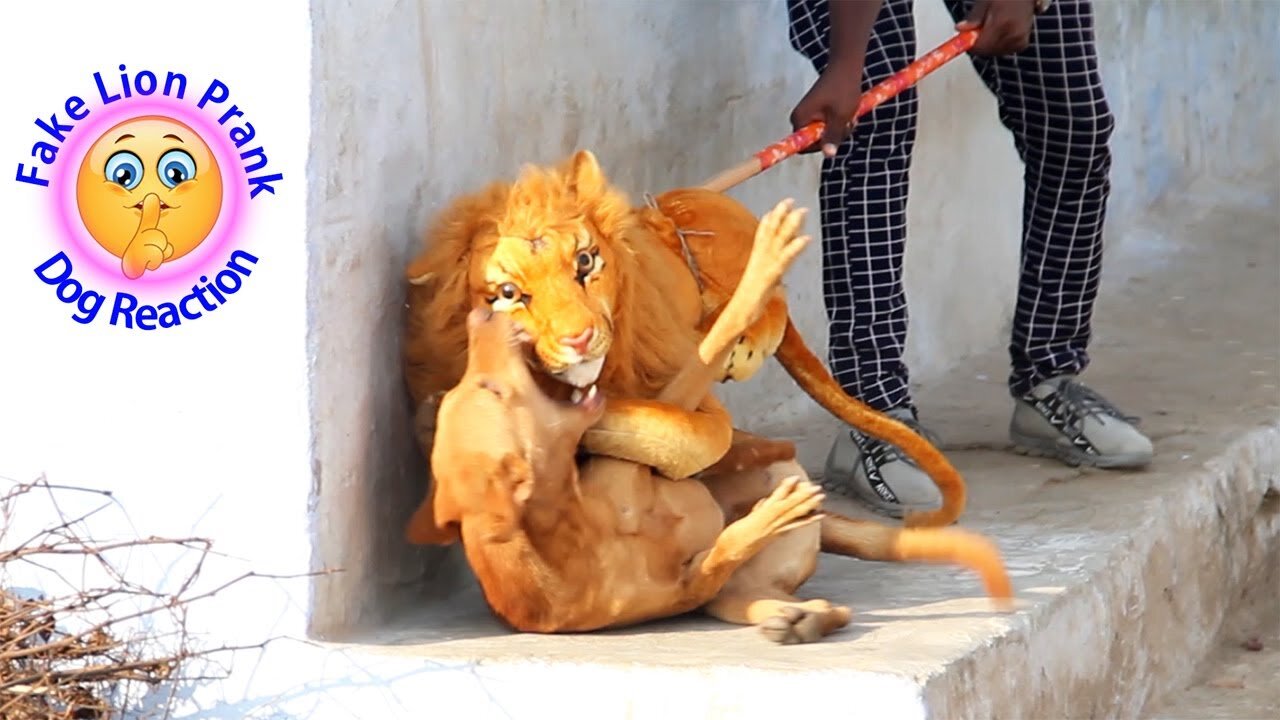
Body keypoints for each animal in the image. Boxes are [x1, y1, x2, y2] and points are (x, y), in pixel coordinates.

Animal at [401, 149, 969, 539]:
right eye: (509, 294)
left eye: (584, 262)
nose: (579, 338)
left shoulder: (685, 387)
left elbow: (683, 433)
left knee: (776, 307)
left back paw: (744, 335)